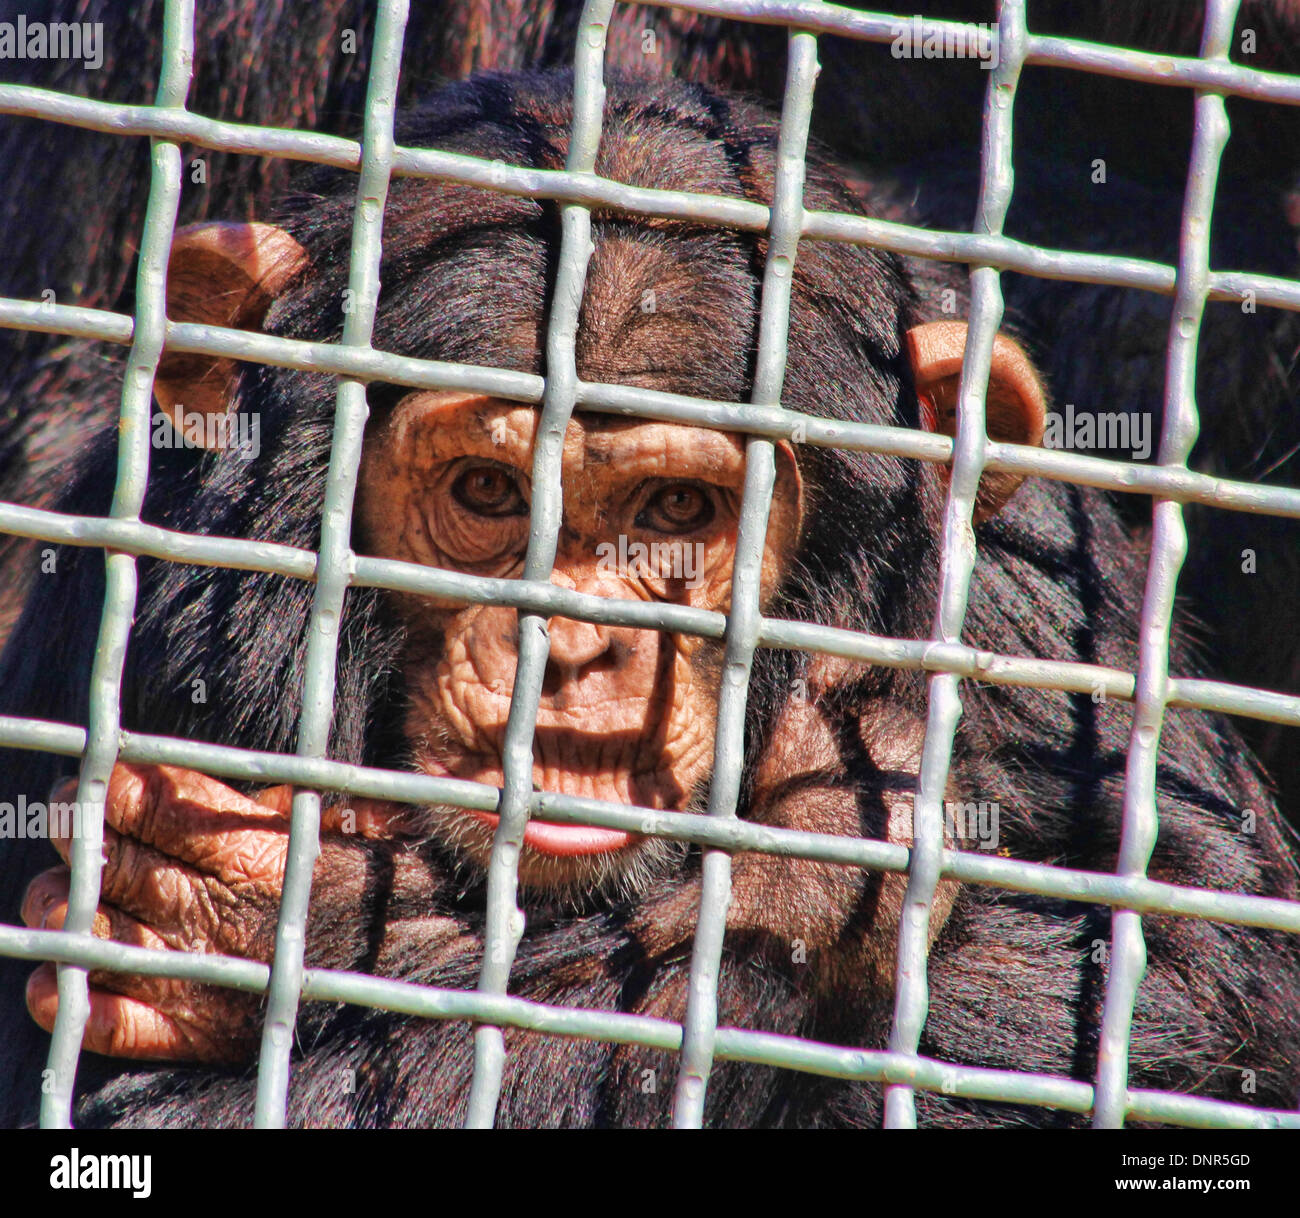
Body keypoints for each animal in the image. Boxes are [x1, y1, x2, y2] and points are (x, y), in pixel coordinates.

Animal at [1, 69, 1298, 1129]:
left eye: (676, 511)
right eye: (486, 490)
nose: (576, 648)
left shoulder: (1030, 594)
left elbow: (1198, 979)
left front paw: (815, 856)